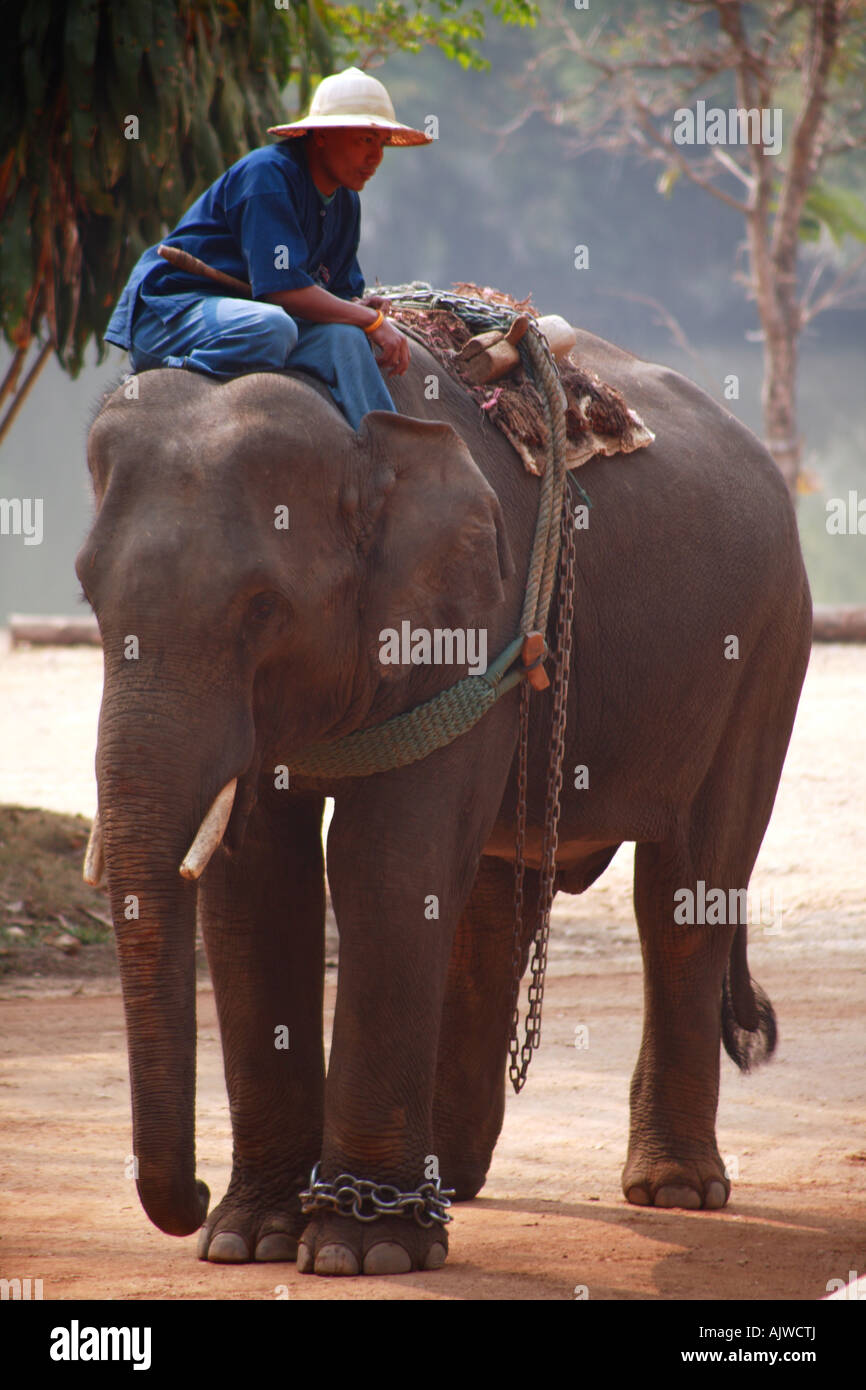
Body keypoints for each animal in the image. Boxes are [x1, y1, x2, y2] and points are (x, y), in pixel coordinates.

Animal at [77, 324, 812, 1277]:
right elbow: (258, 885)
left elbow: (386, 867)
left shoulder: (477, 620)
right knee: (494, 898)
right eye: (88, 595)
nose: (192, 1194)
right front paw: (250, 1237)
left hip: (766, 648)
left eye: (264, 607)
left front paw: (360, 1249)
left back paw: (674, 1190)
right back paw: (450, 1181)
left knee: (686, 891)